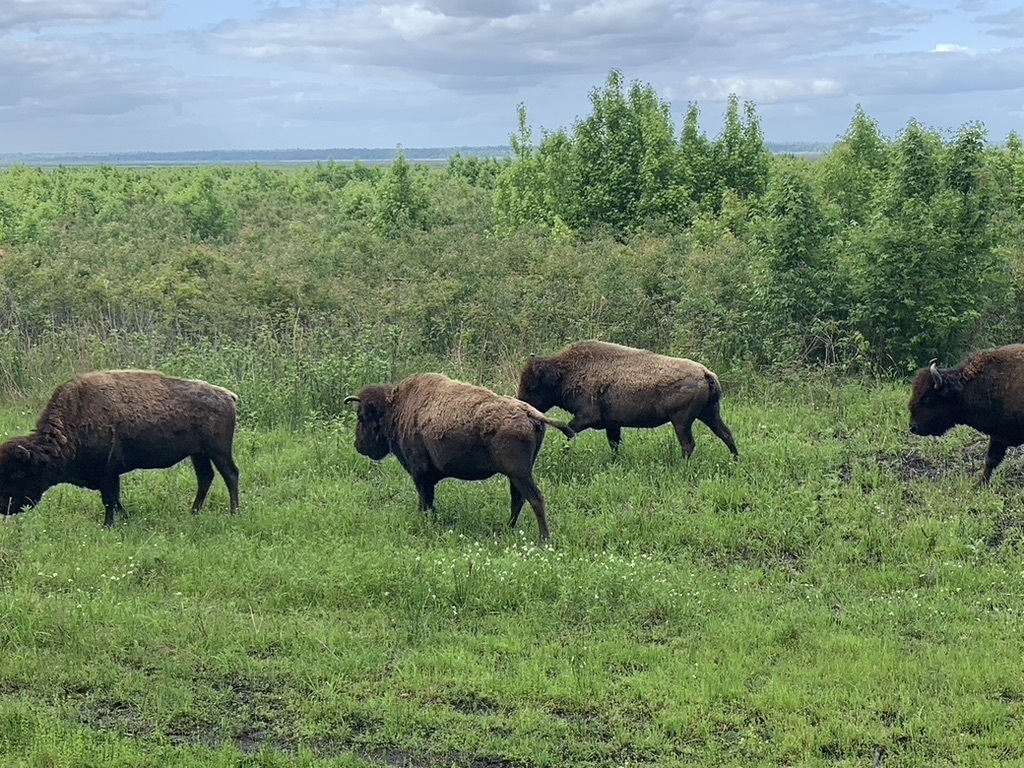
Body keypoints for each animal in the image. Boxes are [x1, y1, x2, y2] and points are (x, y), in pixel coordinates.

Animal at [0, 370, 240, 526]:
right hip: (198, 454)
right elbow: (115, 500)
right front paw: (125, 519)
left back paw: (234, 513)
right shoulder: (110, 476)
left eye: (18, 473)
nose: (3, 507)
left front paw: (109, 525)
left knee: (231, 475)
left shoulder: (107, 473)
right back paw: (193, 512)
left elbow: (109, 500)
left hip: (218, 451)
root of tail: (227, 395)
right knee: (205, 478)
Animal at [345, 372, 574, 541]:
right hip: (518, 475)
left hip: (519, 474)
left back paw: (544, 540)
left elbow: (425, 500)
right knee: (518, 500)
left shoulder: (419, 474)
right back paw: (507, 530)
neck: (396, 408)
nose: (357, 445)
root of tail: (528, 412)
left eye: (361, 417)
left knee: (535, 499)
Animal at [517, 340, 739, 459]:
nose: (521, 404)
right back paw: (736, 461)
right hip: (709, 414)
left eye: (532, 386)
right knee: (726, 435)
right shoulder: (612, 424)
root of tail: (704, 373)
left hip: (681, 421)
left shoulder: (586, 418)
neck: (566, 372)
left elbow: (569, 432)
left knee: (689, 444)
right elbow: (614, 444)